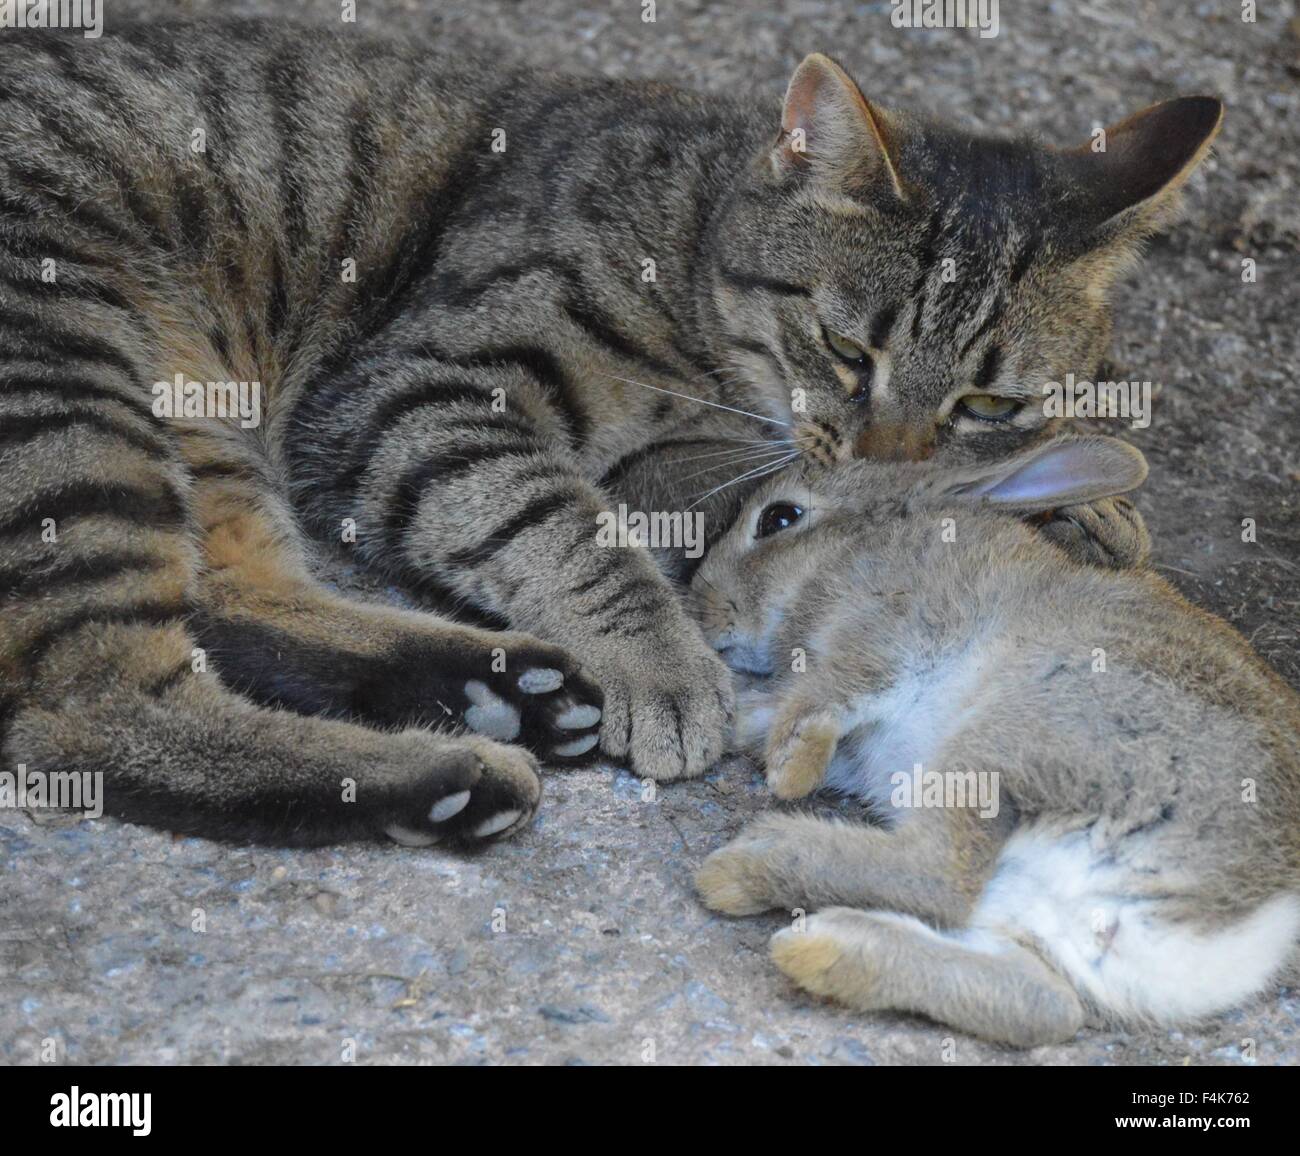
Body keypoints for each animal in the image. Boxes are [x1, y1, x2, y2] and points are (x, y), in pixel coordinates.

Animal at [689, 436, 1300, 1048]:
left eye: (779, 517)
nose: (702, 607)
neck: (855, 546)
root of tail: (1236, 922)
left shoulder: (892, 631)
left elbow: (827, 694)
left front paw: (789, 767)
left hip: (1010, 741)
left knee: (939, 875)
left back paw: (745, 867)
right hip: (1040, 915)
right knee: (1043, 1003)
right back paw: (824, 951)